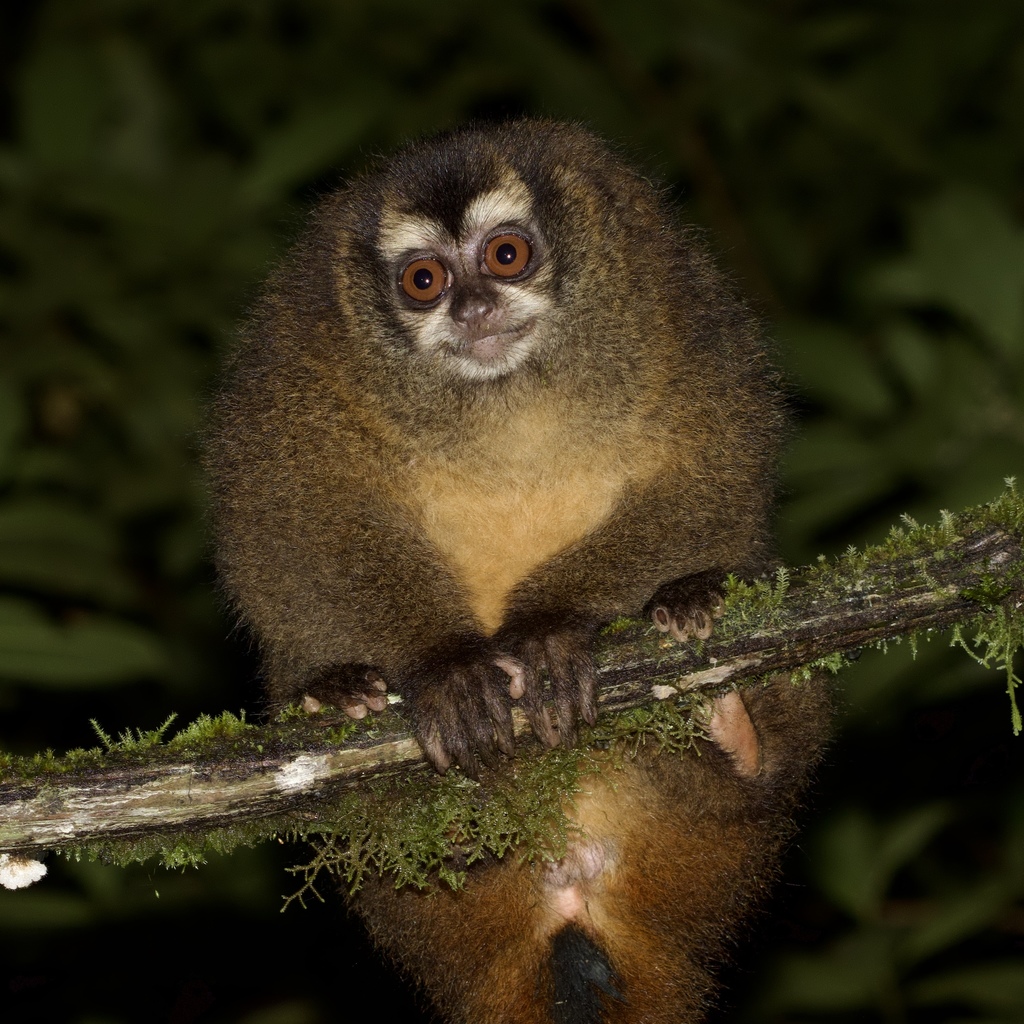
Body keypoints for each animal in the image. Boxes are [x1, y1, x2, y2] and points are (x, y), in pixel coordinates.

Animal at [206, 119, 830, 1022]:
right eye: (424, 280)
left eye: (506, 255)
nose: (474, 308)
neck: (498, 396)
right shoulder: (296, 352)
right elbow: (277, 512)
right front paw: (444, 664)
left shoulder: (668, 290)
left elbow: (719, 452)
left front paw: (547, 630)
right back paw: (356, 722)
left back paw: (733, 721)